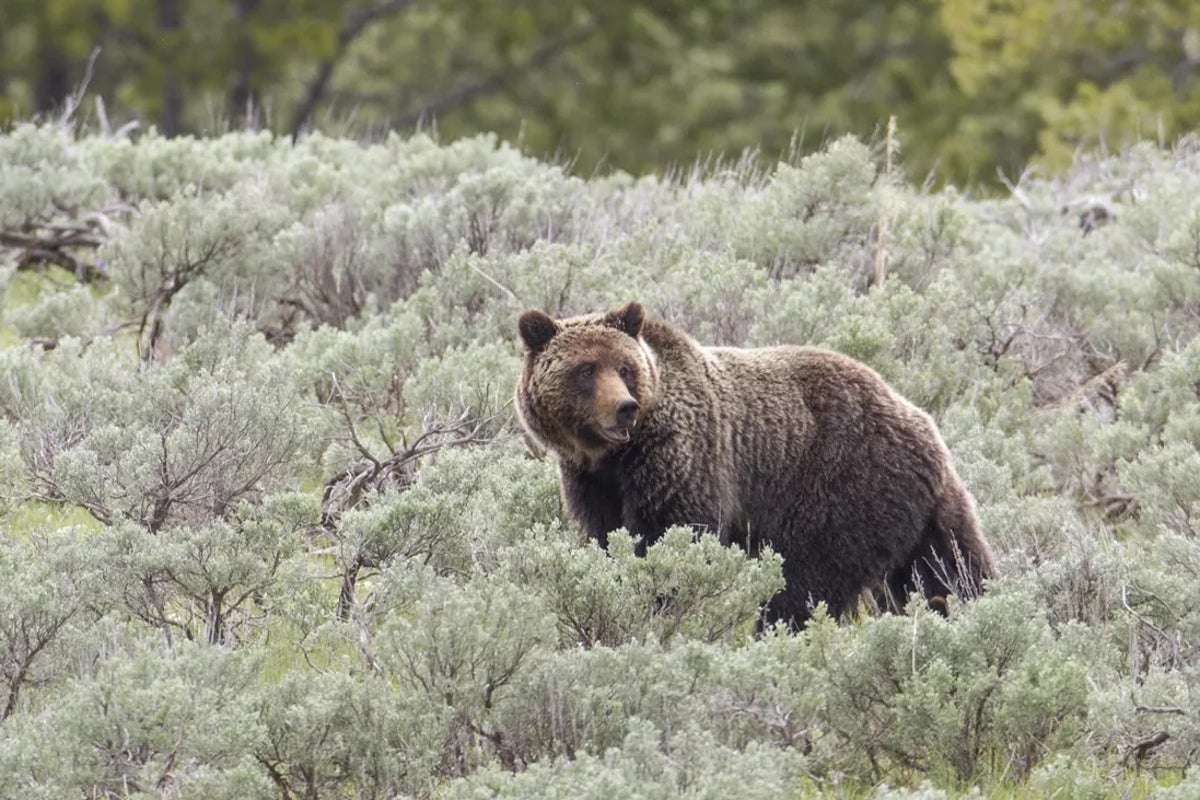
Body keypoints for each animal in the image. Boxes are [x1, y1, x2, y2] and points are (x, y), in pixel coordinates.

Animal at [515, 301, 997, 627]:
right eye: (586, 369)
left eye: (624, 367)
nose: (624, 408)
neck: (613, 457)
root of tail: (923, 424)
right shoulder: (591, 481)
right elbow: (606, 537)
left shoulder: (681, 457)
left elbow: (672, 534)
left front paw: (663, 601)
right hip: (921, 511)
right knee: (949, 568)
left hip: (842, 486)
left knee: (805, 580)